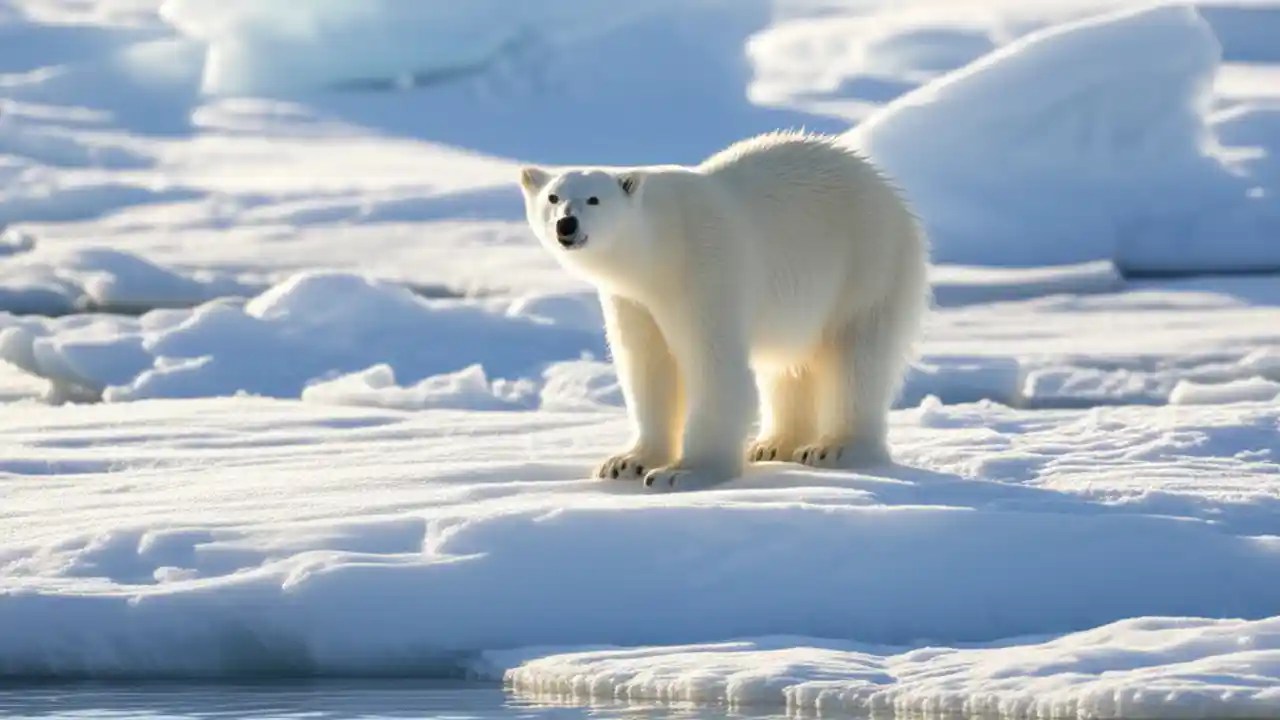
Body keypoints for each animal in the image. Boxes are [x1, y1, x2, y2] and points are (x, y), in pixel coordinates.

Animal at [520, 131, 929, 491]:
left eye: (594, 199)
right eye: (553, 196)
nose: (566, 224)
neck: (659, 247)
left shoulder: (705, 269)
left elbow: (715, 366)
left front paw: (683, 473)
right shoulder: (633, 300)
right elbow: (647, 367)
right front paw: (625, 462)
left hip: (868, 266)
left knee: (857, 359)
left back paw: (835, 448)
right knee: (788, 365)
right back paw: (771, 444)